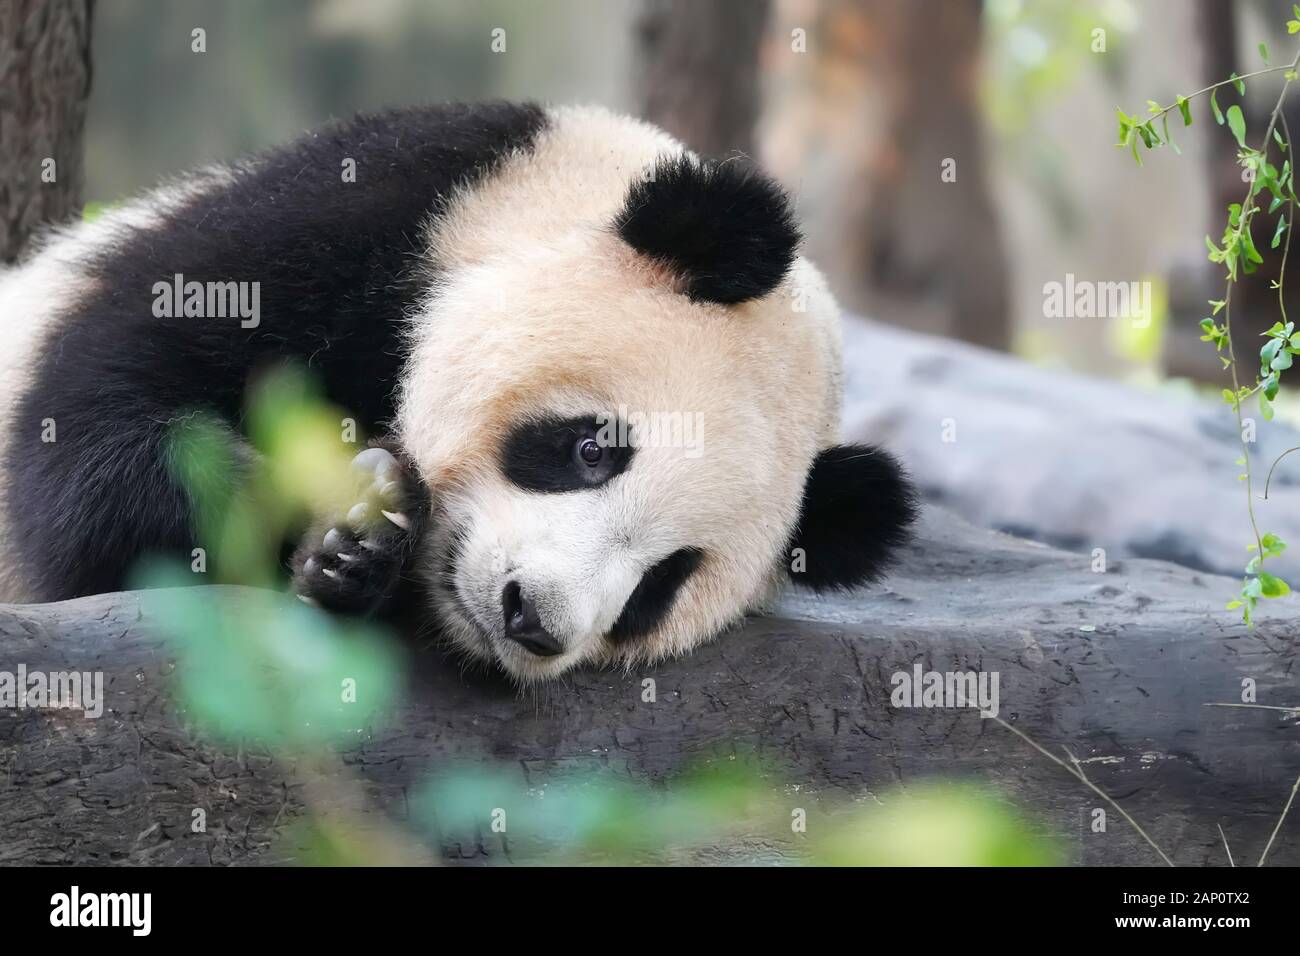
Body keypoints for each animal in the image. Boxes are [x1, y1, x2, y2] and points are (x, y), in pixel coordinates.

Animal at [0, 102, 916, 682]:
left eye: (664, 581)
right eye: (593, 448)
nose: (532, 617)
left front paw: (355, 549)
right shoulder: (370, 214)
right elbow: (97, 430)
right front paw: (346, 515)